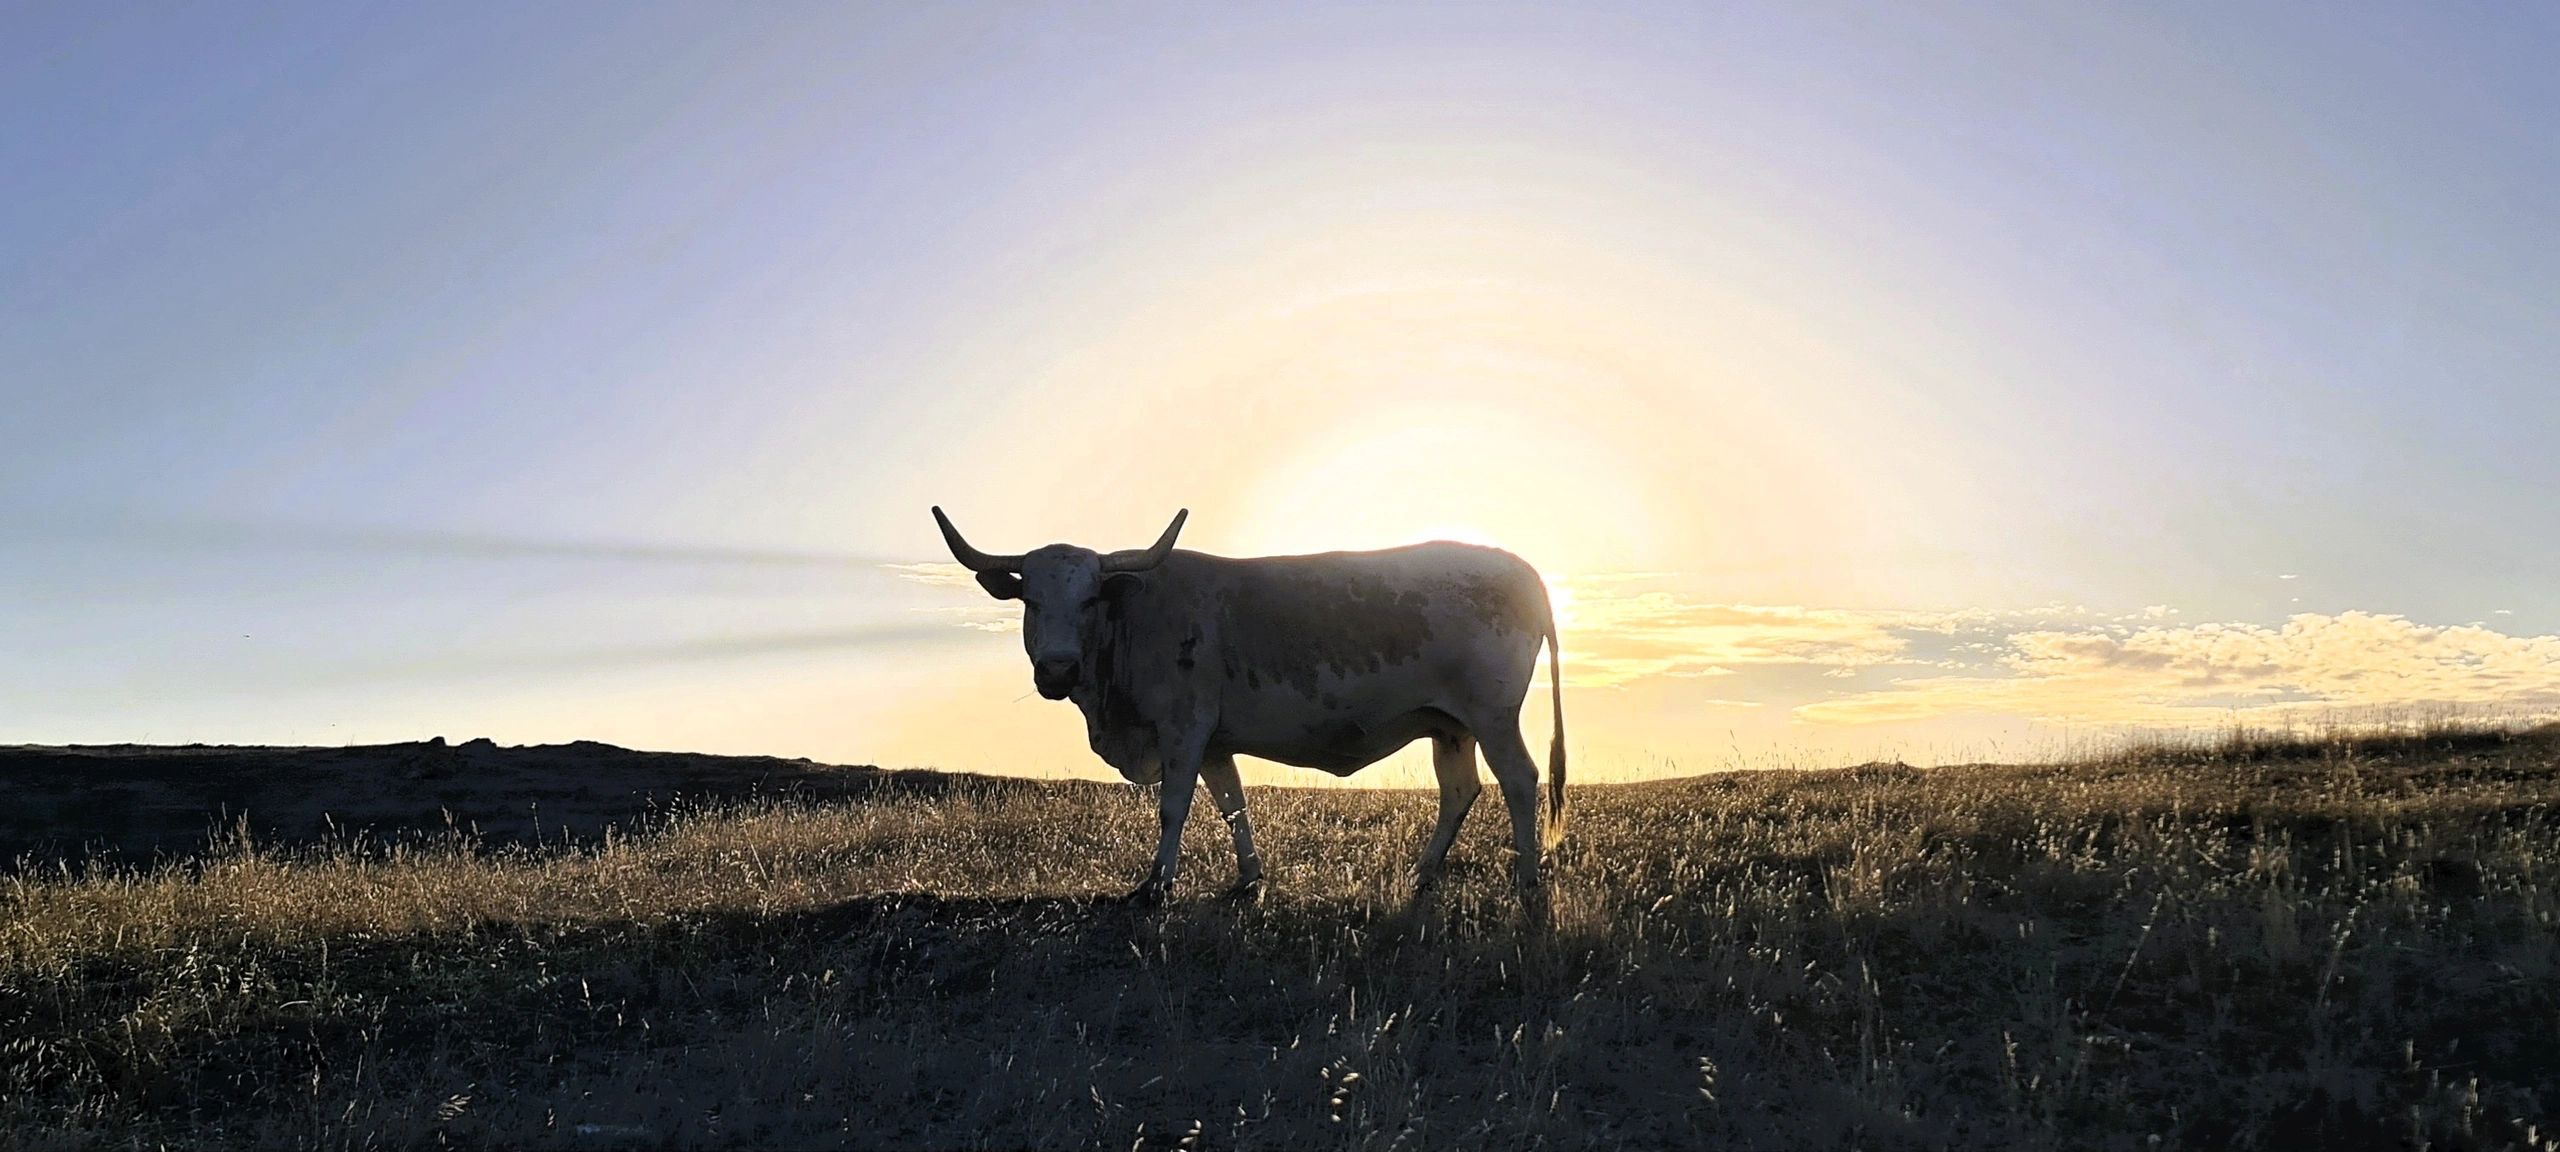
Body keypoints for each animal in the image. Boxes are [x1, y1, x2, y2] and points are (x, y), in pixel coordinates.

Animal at [932, 506, 1566, 906]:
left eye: (1090, 599)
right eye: (1031, 600)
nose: (1059, 668)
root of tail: (1527, 574)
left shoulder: (1183, 729)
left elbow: (1175, 807)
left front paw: (1156, 885)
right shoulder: (1214, 744)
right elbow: (1232, 805)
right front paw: (1248, 880)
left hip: (1492, 716)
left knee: (1519, 779)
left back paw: (1527, 880)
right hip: (1450, 726)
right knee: (1460, 789)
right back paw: (1423, 874)